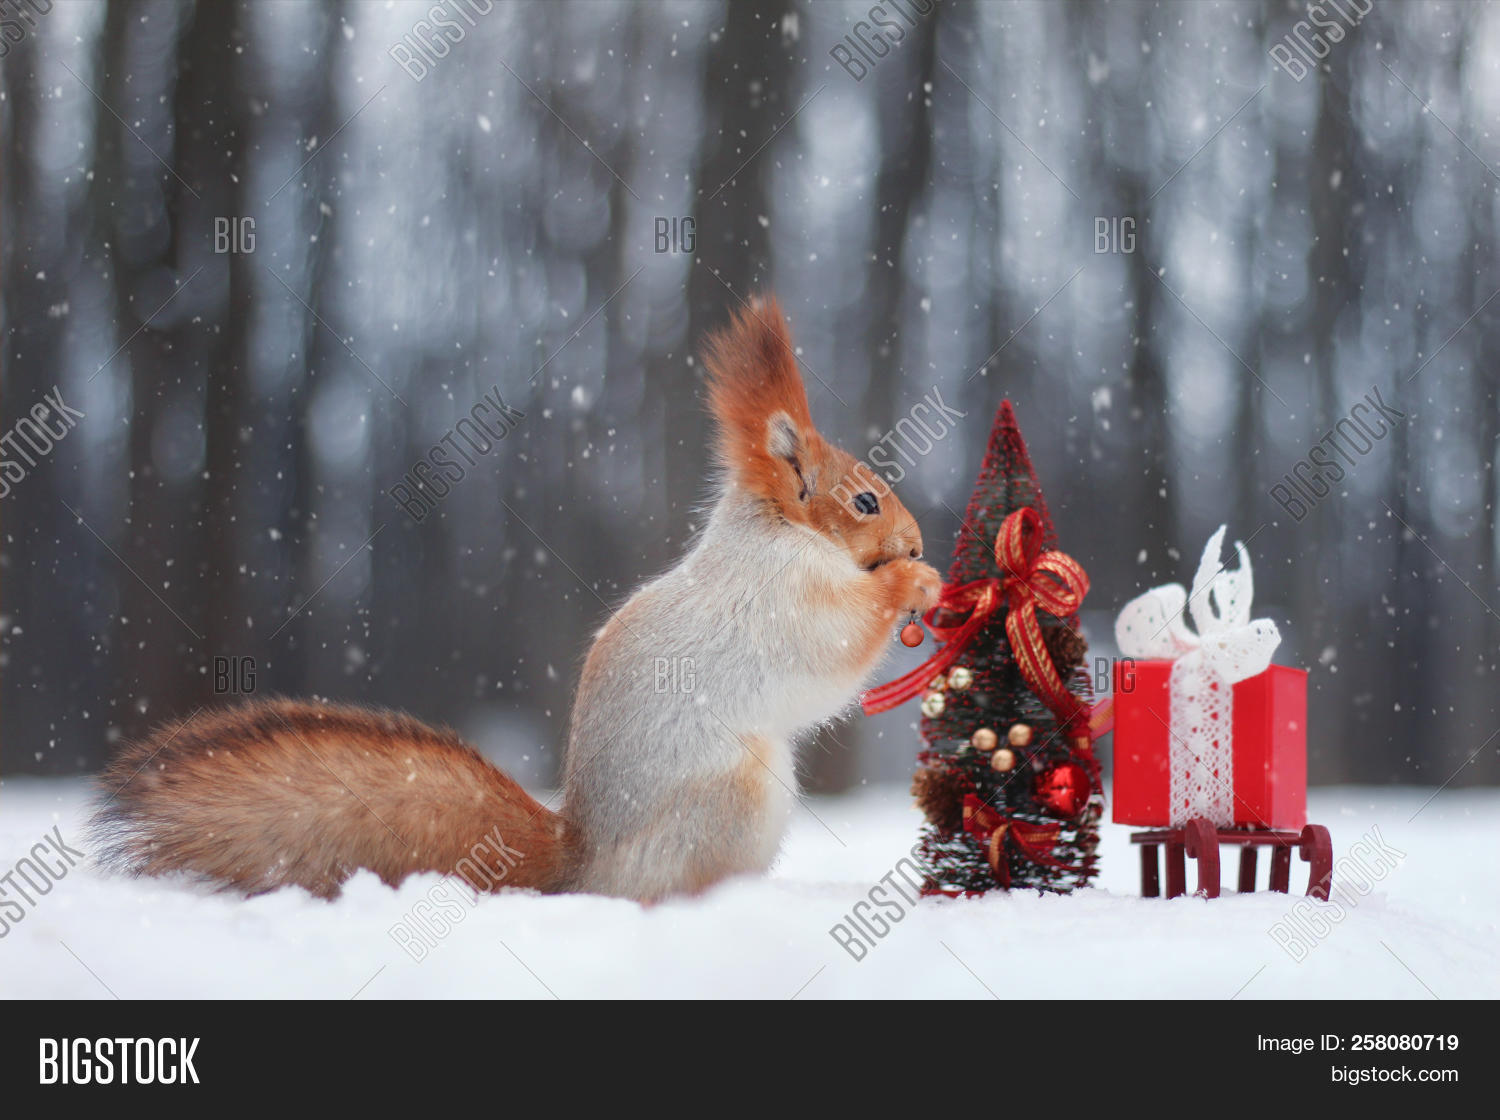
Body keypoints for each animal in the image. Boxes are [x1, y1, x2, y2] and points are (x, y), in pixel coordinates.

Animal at [91, 296, 942, 903]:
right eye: (865, 502)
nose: (918, 539)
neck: (774, 532)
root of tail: (583, 870)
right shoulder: (786, 599)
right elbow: (840, 641)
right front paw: (914, 584)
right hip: (735, 799)